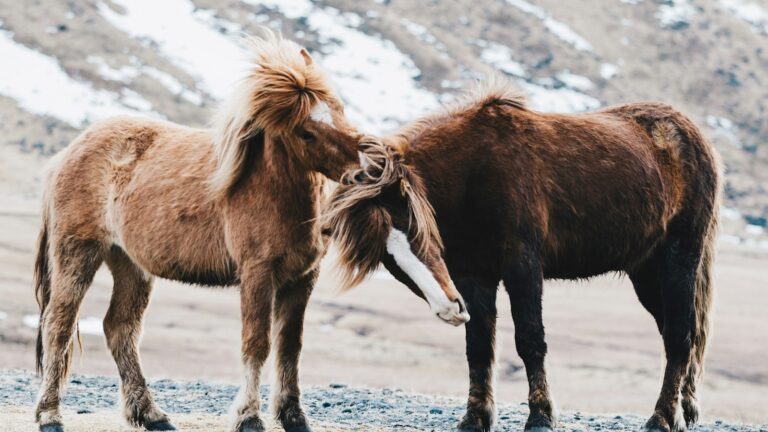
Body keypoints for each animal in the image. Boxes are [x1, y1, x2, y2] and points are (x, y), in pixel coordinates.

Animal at [31, 31, 467, 432]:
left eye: (339, 108)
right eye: (306, 131)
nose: (372, 167)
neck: (268, 189)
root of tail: (66, 153)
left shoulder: (302, 278)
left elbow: (290, 347)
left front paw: (294, 417)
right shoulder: (258, 273)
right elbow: (257, 343)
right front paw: (249, 417)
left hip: (129, 263)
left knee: (120, 328)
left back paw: (153, 416)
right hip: (78, 253)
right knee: (59, 324)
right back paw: (51, 416)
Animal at [323, 77, 721, 432]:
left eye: (413, 225)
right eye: (386, 258)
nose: (449, 309)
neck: (473, 172)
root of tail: (692, 135)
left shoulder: (522, 266)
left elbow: (530, 339)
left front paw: (541, 417)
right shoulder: (473, 276)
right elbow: (479, 347)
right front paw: (475, 418)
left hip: (679, 257)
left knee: (680, 335)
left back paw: (662, 418)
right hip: (646, 273)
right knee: (680, 333)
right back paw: (684, 411)